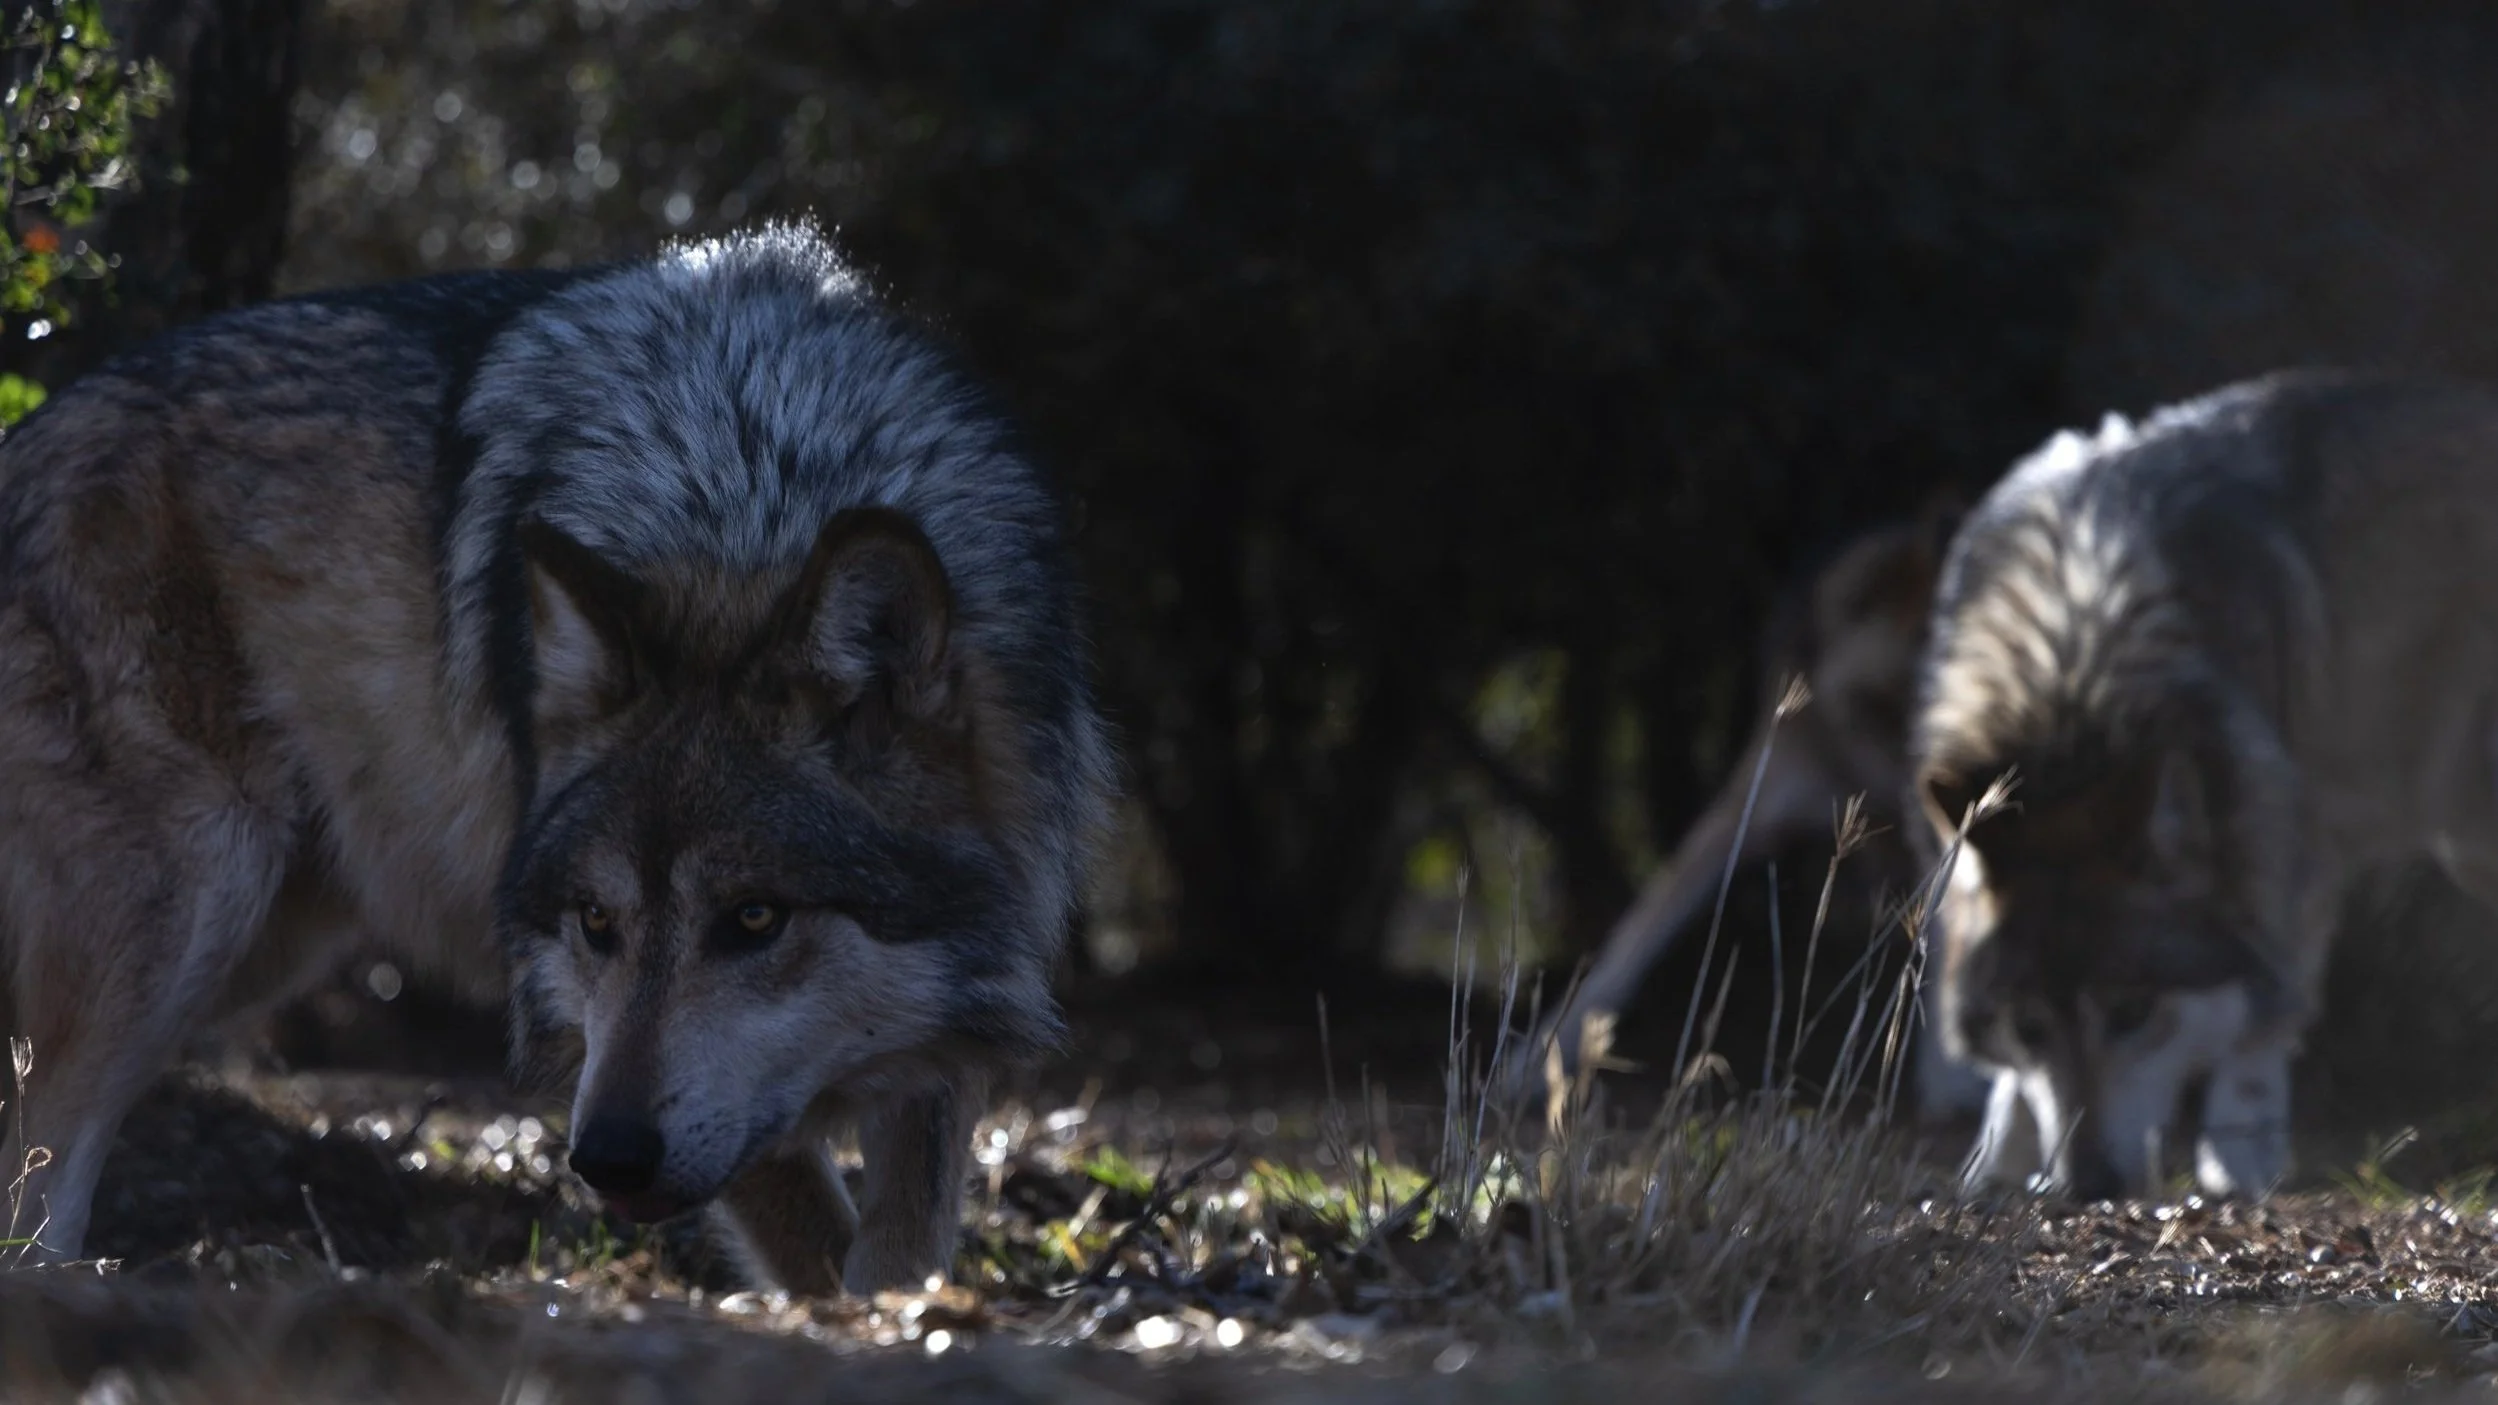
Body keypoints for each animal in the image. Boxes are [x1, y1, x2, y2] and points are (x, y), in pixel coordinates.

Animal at [0, 224, 1115, 1292]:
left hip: (262, 943)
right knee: (40, 1180)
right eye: (595, 922)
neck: (753, 495)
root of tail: (28, 430)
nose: (606, 1159)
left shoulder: (950, 1012)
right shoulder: (601, 1034)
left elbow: (900, 1247)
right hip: (191, 904)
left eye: (756, 918)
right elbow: (818, 1250)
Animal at [1502, 506, 1994, 1121]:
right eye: (1913, 698)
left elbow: (1944, 932)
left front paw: (1950, 1077)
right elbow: (1631, 938)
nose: (1963, 776)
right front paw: (1533, 1064)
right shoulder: (1750, 805)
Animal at [1914, 368, 2498, 1203]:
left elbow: (2264, 1011)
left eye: (2132, 1011)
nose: (2090, 1184)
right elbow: (2011, 1079)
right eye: (2028, 1025)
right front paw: (2000, 1160)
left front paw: (2239, 1164)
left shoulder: (2284, 831)